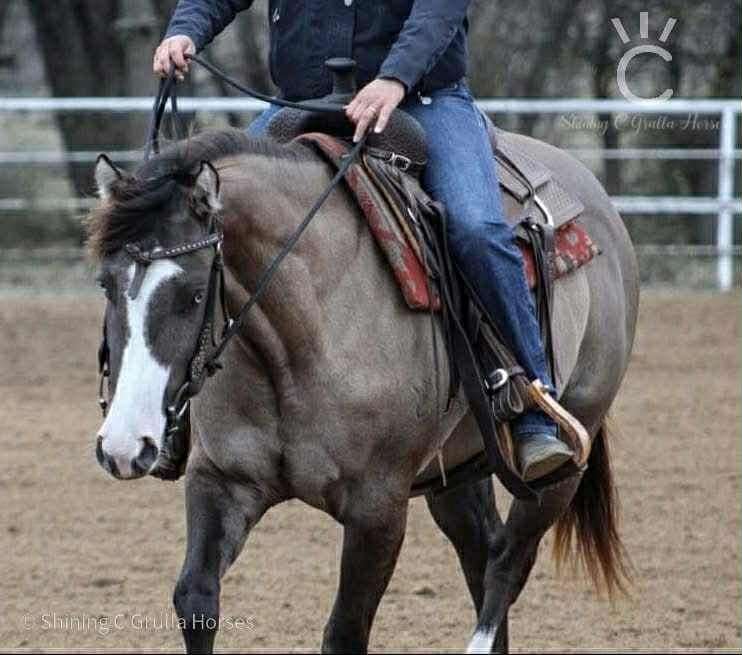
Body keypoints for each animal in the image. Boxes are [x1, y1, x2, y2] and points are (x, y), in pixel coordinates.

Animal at [87, 126, 639, 654]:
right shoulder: (222, 480)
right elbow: (196, 600)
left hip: (567, 455)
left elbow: (346, 633)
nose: (122, 445)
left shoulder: (378, 510)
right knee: (481, 554)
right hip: (457, 472)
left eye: (195, 293)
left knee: (507, 564)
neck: (299, 339)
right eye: (104, 284)